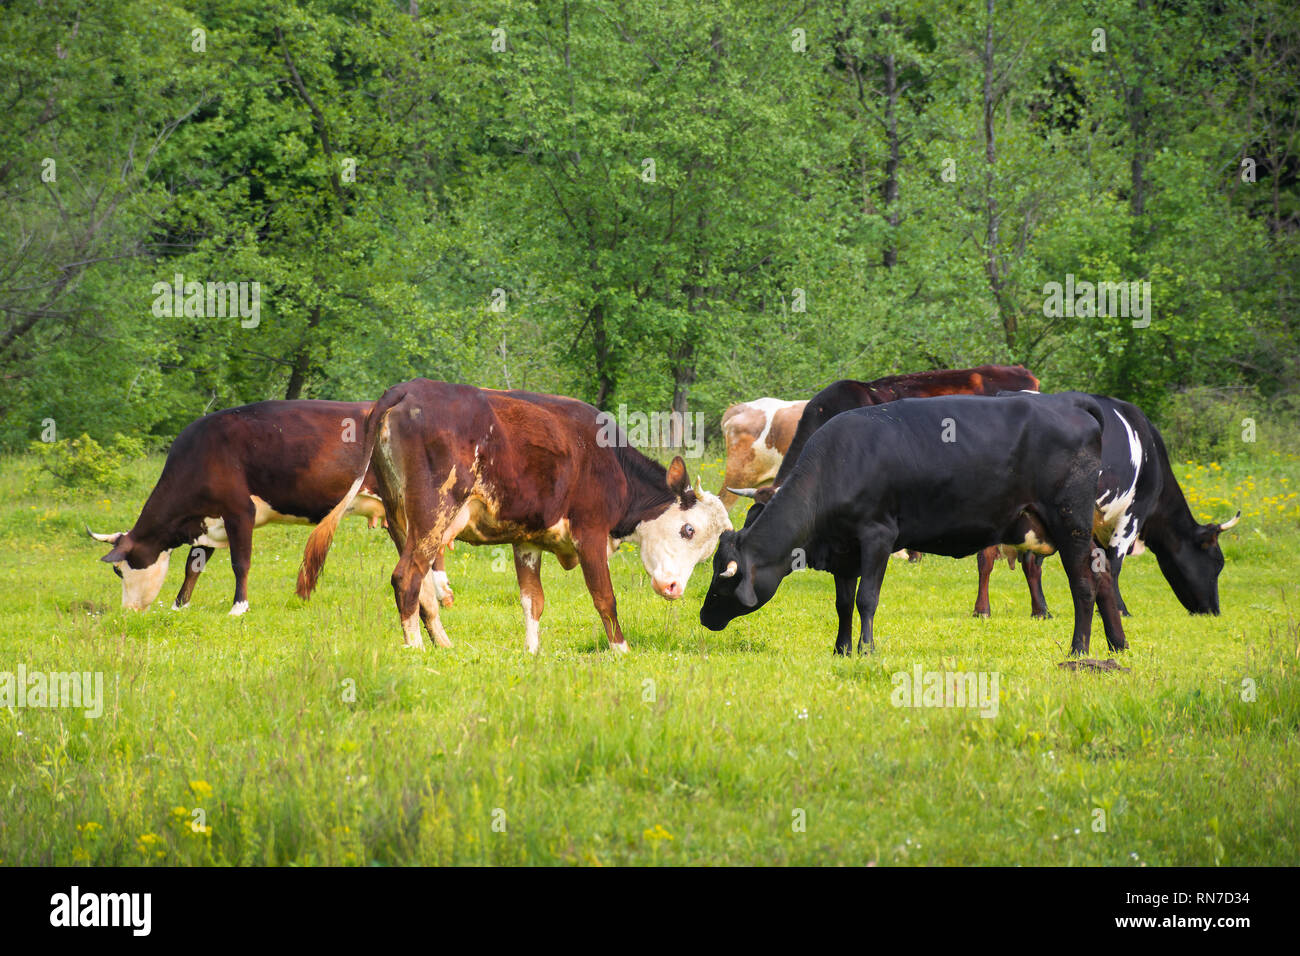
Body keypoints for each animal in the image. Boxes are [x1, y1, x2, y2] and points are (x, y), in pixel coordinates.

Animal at [89, 400, 453, 614]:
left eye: (118, 570)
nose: (127, 612)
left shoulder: (239, 513)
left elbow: (240, 563)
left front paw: (239, 606)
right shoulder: (209, 522)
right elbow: (193, 566)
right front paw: (180, 605)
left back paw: (440, 592)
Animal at [295, 380, 733, 653]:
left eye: (707, 554)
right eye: (688, 529)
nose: (674, 588)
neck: (611, 463)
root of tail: (408, 388)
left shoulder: (527, 541)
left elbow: (532, 601)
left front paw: (532, 651)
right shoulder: (590, 533)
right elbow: (604, 597)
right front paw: (621, 650)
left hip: (401, 520)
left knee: (421, 587)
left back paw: (442, 643)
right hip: (433, 514)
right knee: (406, 577)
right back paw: (415, 648)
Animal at [700, 392, 1129, 657]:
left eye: (724, 577)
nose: (704, 617)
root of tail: (1069, 401)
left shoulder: (877, 536)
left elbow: (866, 598)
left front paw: (866, 649)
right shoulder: (843, 551)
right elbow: (842, 602)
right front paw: (840, 649)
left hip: (1069, 521)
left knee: (1083, 584)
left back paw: (1079, 649)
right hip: (1077, 527)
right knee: (1103, 574)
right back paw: (1117, 645)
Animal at [971, 393, 1239, 618]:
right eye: (1217, 562)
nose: (1214, 611)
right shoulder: (1132, 514)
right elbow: (1113, 562)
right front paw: (1120, 609)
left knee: (992, 559)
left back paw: (999, 610)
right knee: (1024, 561)